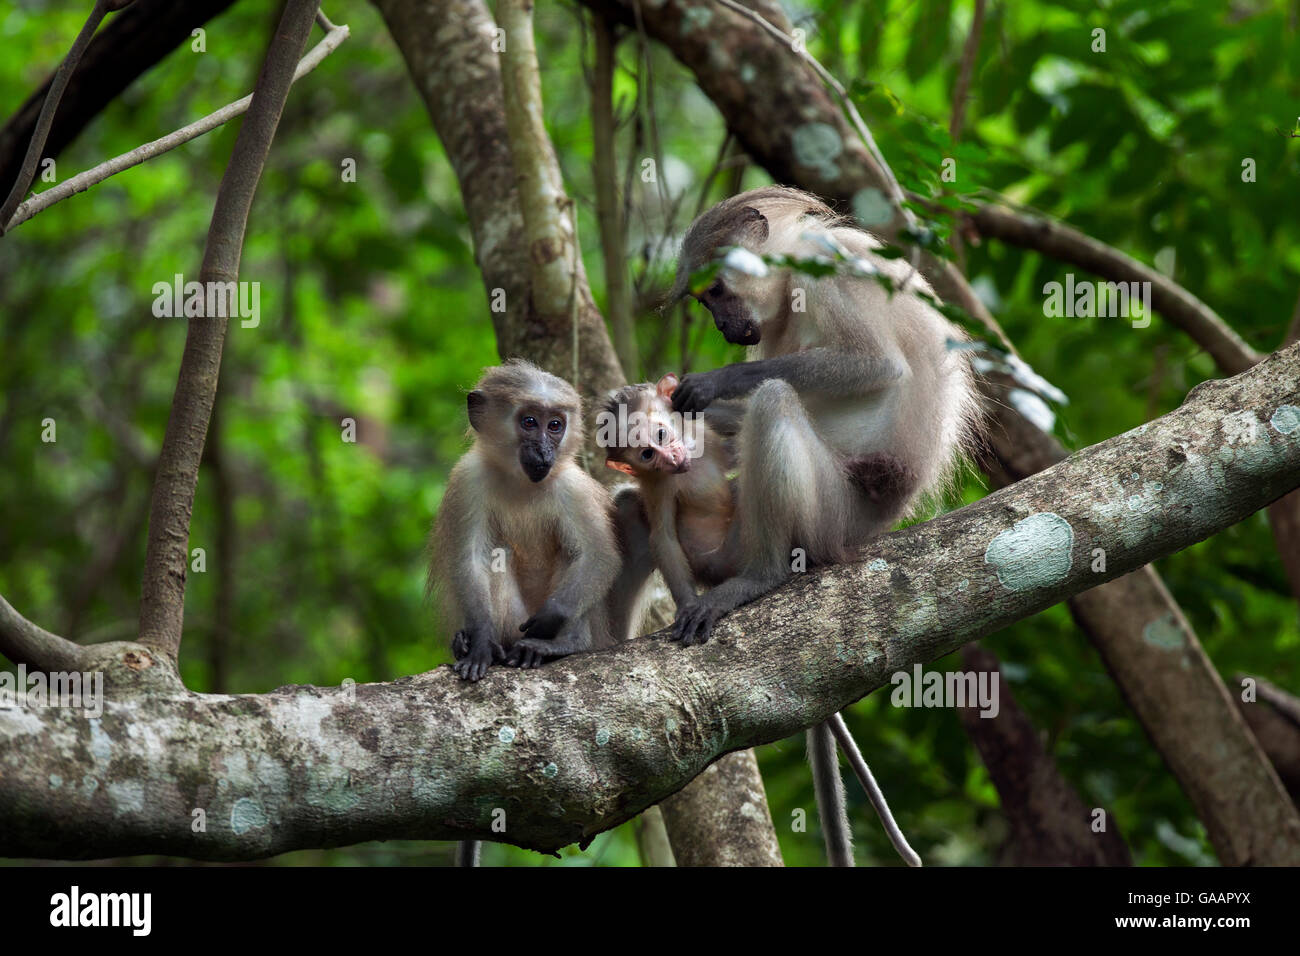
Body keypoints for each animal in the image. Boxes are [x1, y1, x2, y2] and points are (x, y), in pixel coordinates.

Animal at [429, 359, 622, 682]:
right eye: (529, 422)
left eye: (555, 425)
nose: (544, 451)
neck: (521, 482)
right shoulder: (467, 479)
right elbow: (470, 558)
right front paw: (480, 643)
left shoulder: (574, 488)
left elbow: (600, 556)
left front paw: (549, 622)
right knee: (498, 552)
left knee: (572, 552)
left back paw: (563, 644)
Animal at [600, 371, 922, 867]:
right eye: (646, 454)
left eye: (660, 435)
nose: (671, 458)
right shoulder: (660, 486)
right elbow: (663, 534)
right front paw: (688, 608)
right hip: (728, 554)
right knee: (634, 506)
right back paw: (760, 578)